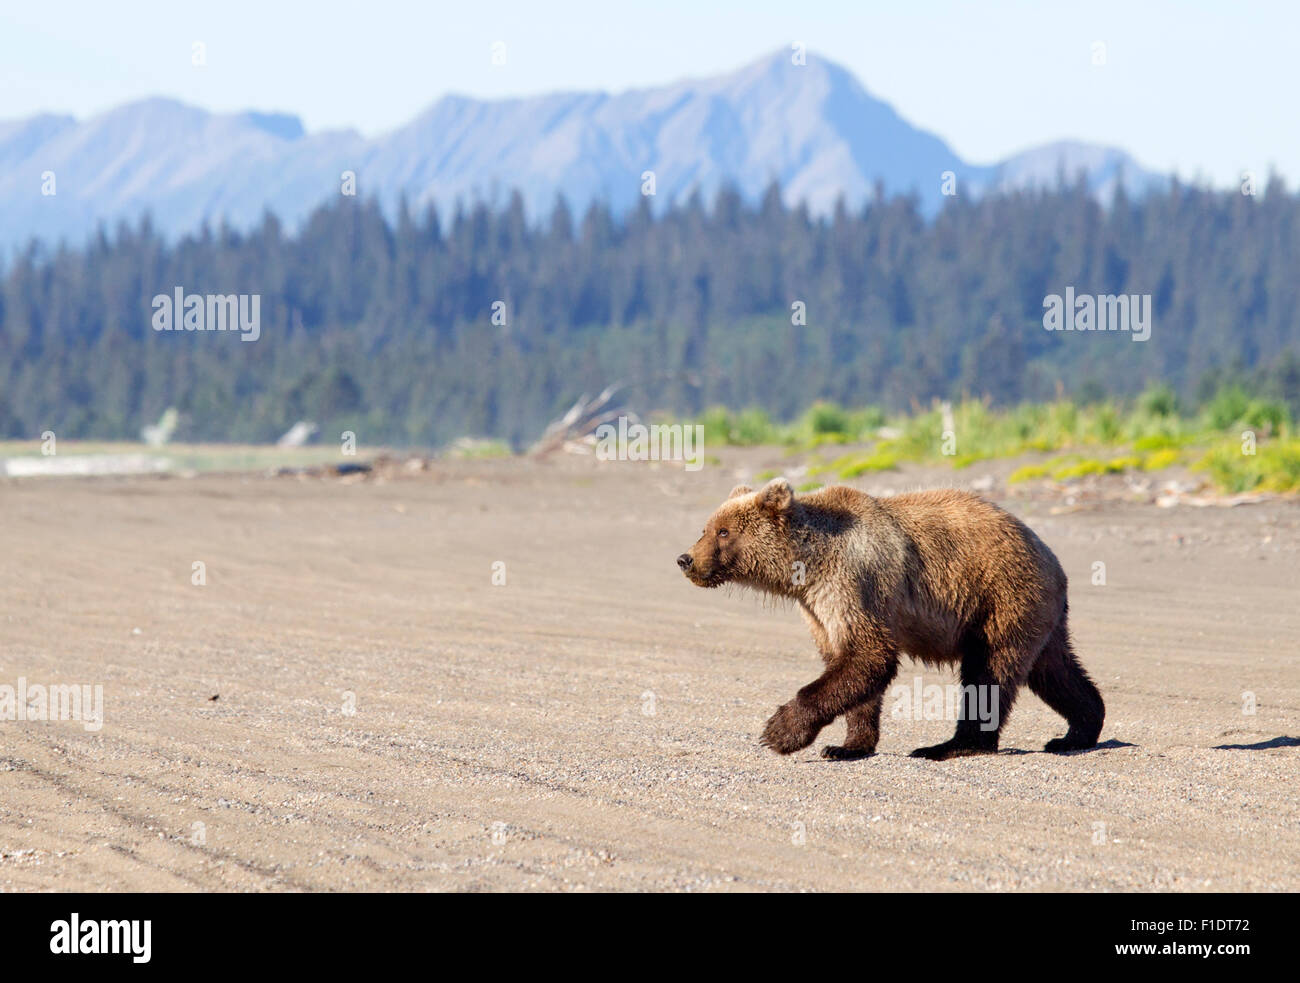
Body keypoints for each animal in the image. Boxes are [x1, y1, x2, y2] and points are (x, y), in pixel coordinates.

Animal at [676, 477, 1104, 760]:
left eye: (723, 531)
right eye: (706, 528)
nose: (686, 559)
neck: (807, 568)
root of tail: (1051, 557)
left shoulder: (852, 582)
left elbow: (870, 655)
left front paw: (779, 732)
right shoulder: (819, 609)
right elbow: (848, 664)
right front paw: (847, 745)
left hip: (1001, 597)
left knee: (989, 672)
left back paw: (949, 746)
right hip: (1039, 615)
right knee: (1054, 669)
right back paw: (1078, 730)